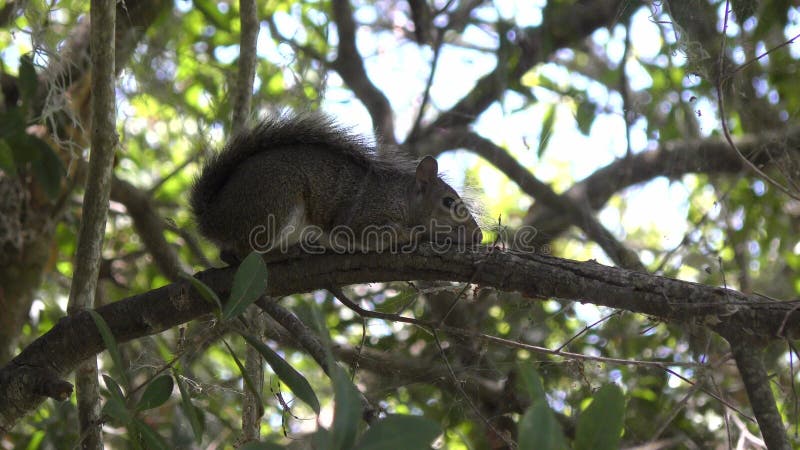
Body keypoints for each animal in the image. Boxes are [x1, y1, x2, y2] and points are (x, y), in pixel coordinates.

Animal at [190, 113, 482, 263]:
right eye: (448, 202)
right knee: (245, 251)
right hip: (277, 202)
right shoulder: (361, 217)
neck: (401, 199)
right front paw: (414, 234)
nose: (478, 236)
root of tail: (212, 218)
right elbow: (373, 234)